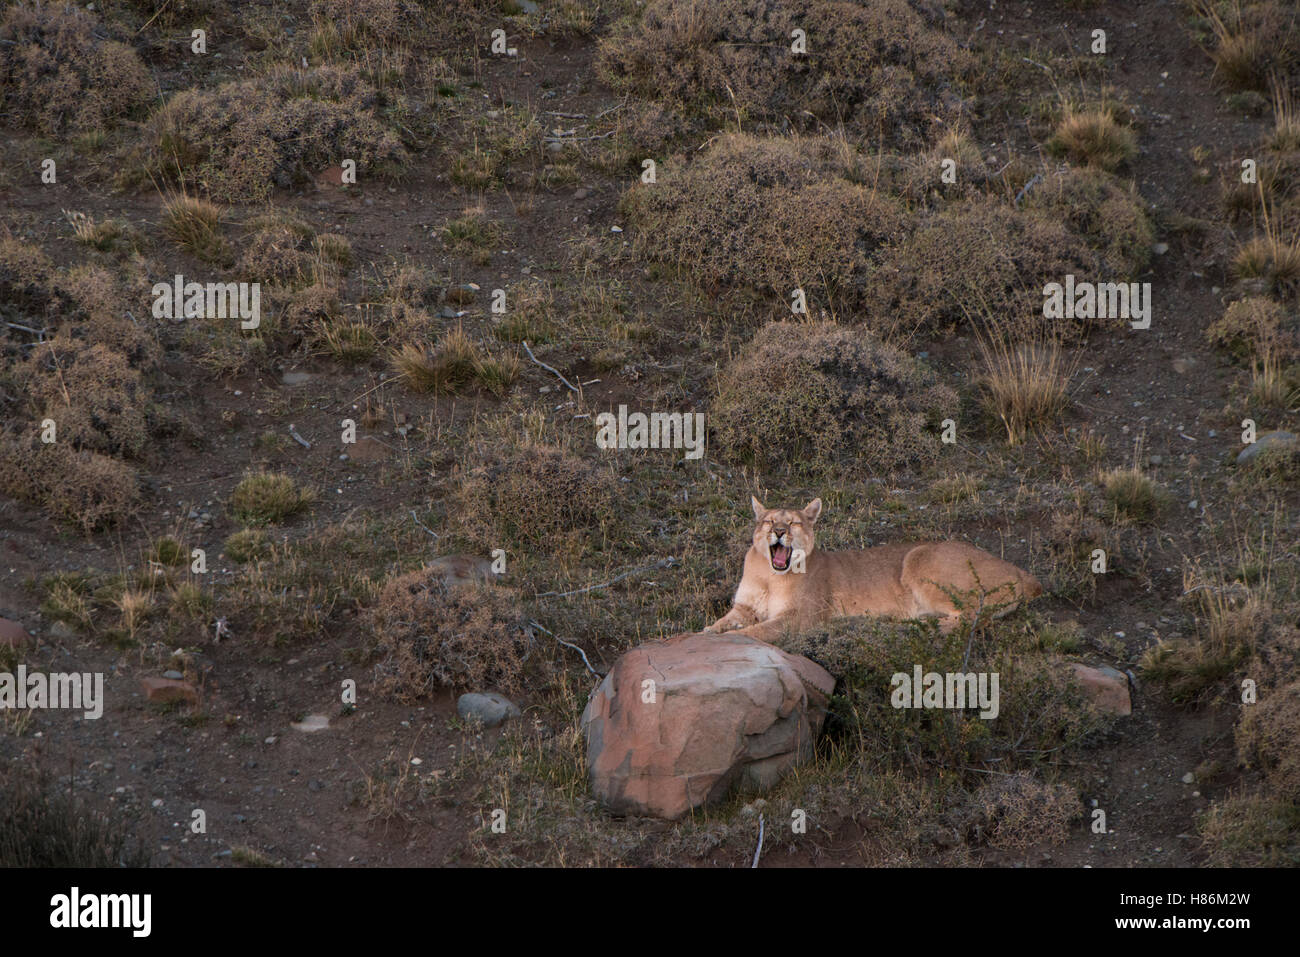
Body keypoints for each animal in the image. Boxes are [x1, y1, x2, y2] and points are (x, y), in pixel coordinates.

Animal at [705, 496, 1043, 642]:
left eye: (794, 523)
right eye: (769, 520)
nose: (778, 531)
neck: (769, 576)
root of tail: (1020, 571)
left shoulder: (801, 616)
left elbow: (760, 630)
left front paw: (733, 637)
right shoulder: (745, 606)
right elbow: (725, 620)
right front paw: (707, 631)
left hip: (920, 559)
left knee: (974, 615)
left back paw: (918, 626)